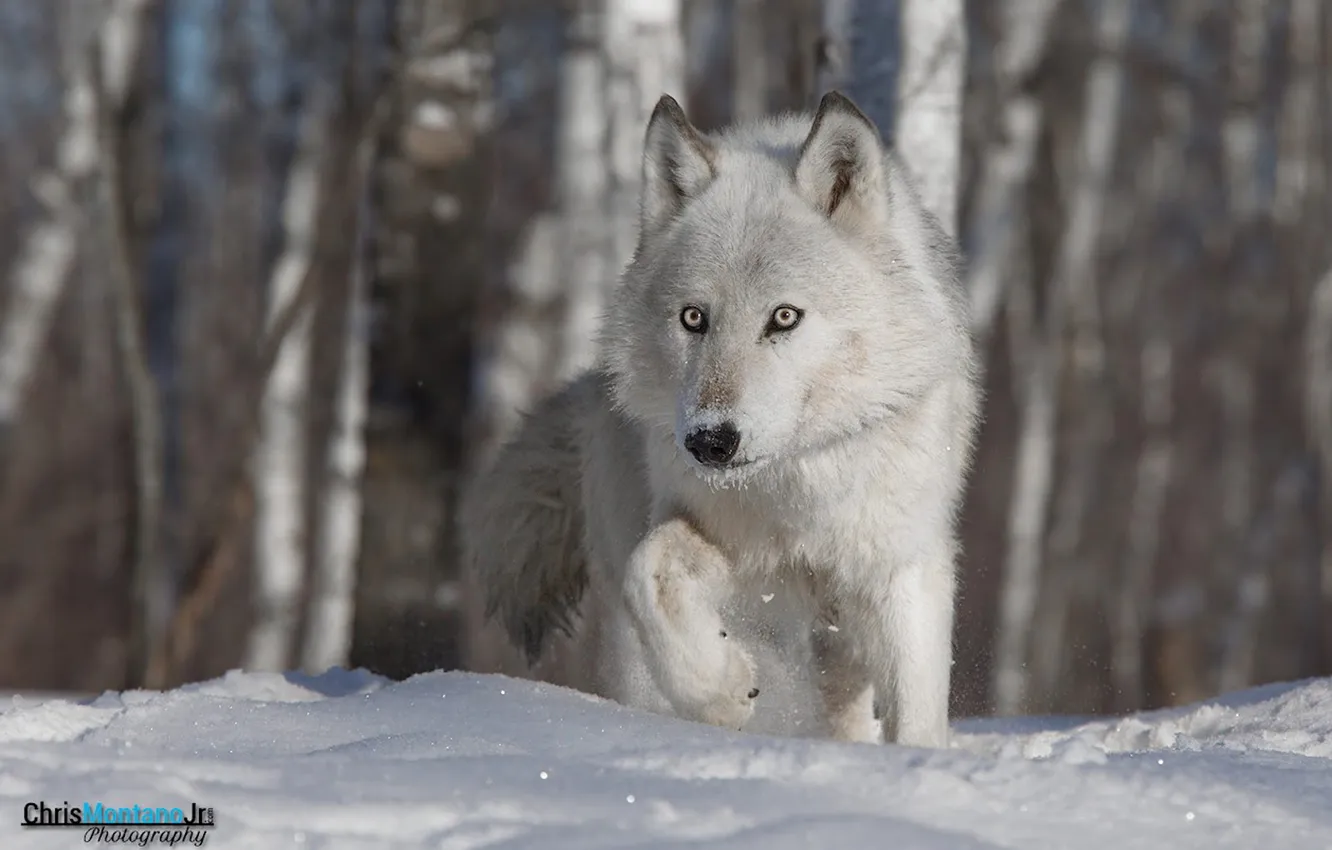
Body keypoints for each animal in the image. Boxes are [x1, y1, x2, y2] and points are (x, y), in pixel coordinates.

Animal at [458, 91, 980, 748]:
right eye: (693, 318)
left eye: (784, 317)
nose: (709, 442)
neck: (793, 488)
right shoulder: (715, 538)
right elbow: (651, 570)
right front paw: (721, 689)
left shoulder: (902, 566)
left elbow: (915, 715)